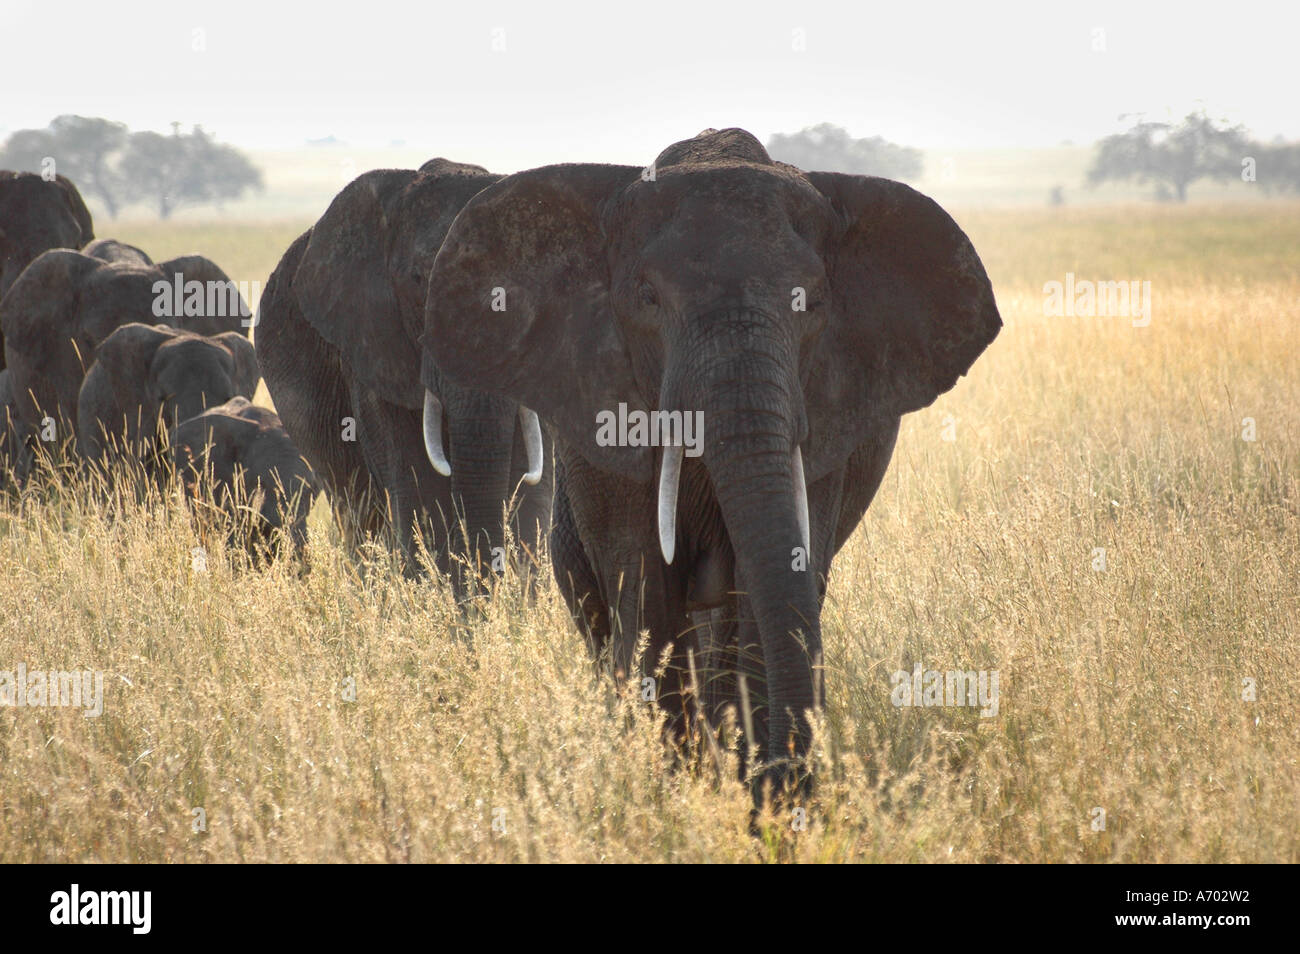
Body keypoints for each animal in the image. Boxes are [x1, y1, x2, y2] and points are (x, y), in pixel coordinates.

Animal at [421, 128, 1002, 792]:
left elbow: (766, 581)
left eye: (814, 301)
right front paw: (676, 784)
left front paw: (752, 790)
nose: (792, 785)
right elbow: (646, 586)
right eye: (648, 298)